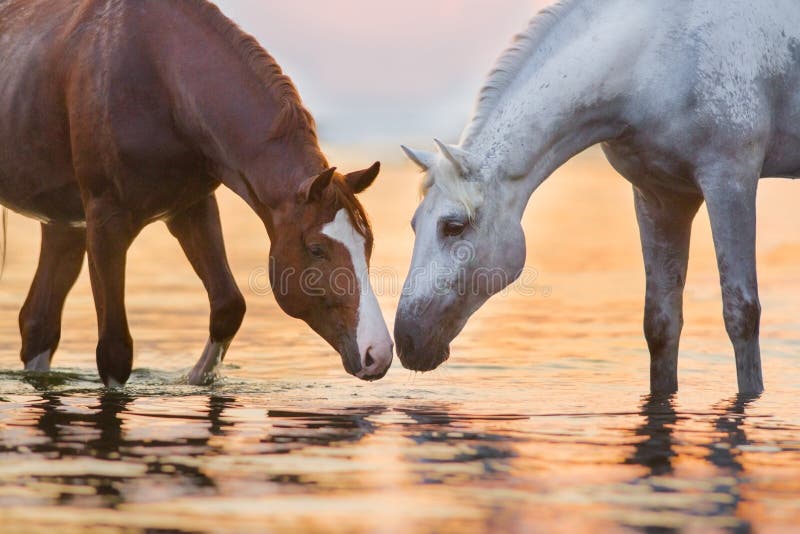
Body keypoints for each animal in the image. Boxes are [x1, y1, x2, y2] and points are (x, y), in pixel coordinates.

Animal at [0, 0, 393, 386]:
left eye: (368, 244)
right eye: (316, 249)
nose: (378, 353)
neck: (160, 78)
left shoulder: (191, 207)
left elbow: (227, 306)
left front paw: (195, 379)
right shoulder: (106, 222)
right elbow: (114, 351)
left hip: (62, 223)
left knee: (38, 323)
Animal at [397, 0, 800, 394]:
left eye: (453, 226)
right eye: (414, 225)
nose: (406, 340)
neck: (651, 58)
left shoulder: (730, 181)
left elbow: (741, 313)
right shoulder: (660, 198)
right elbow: (661, 325)